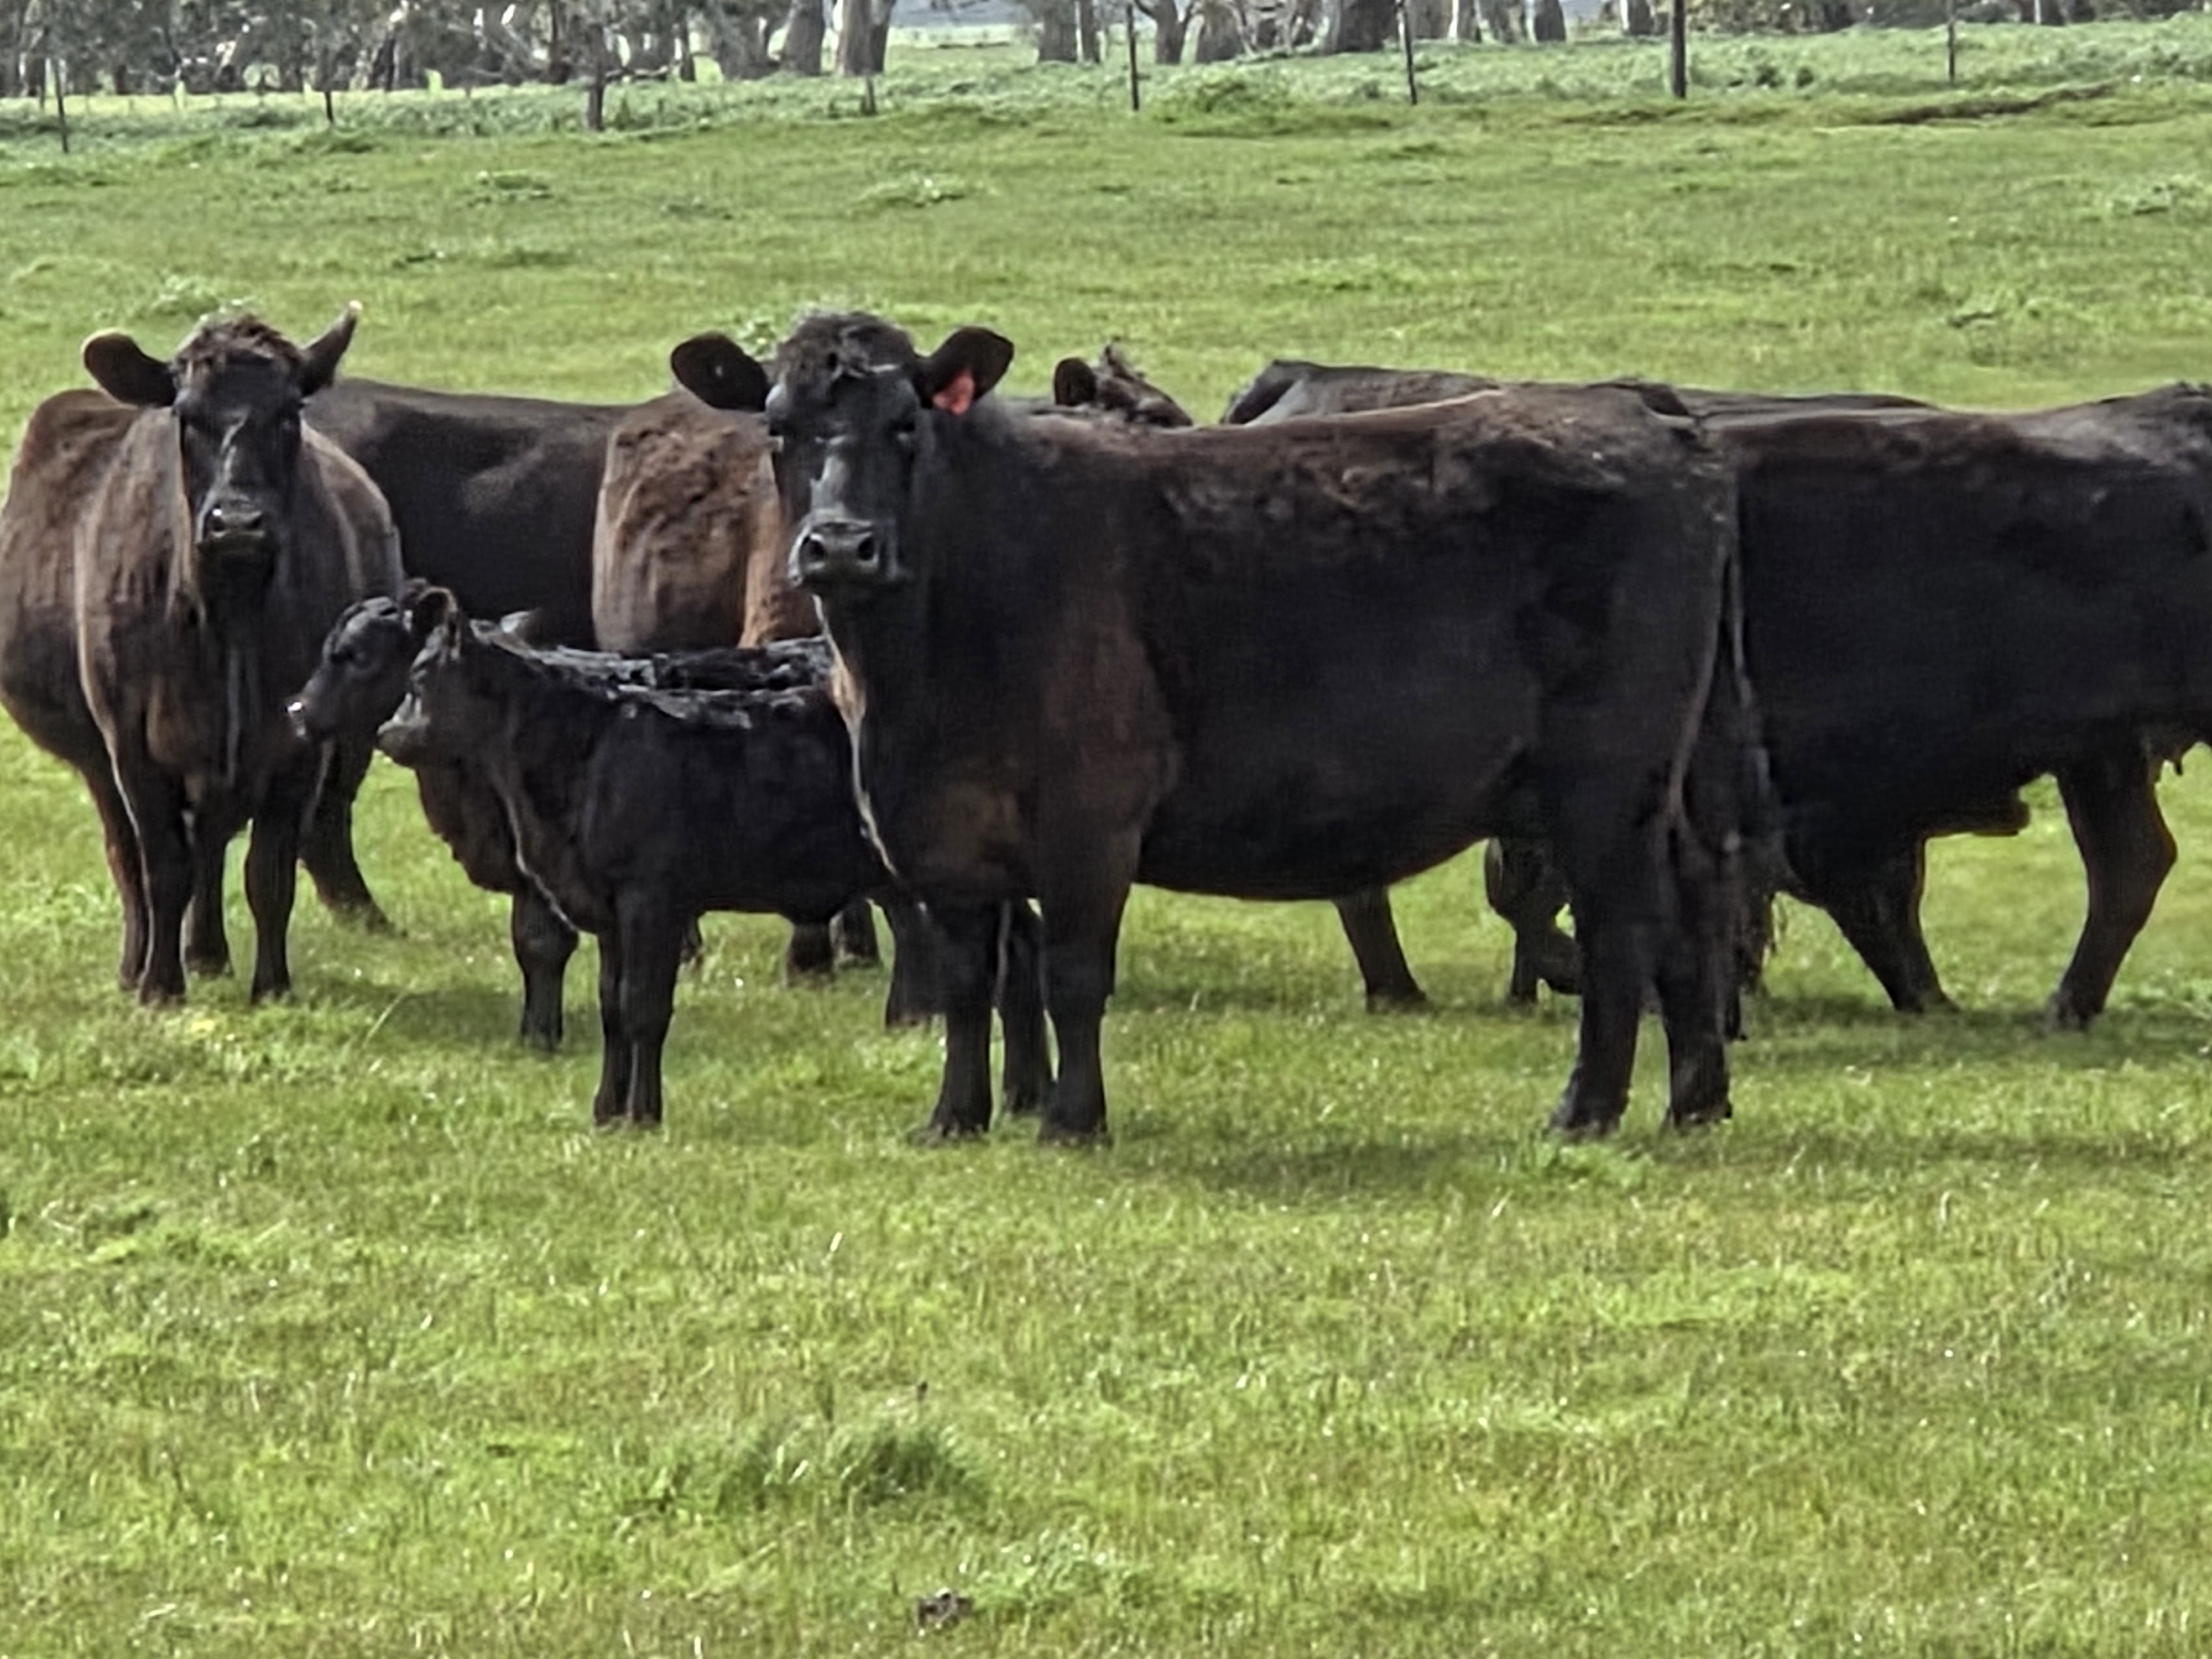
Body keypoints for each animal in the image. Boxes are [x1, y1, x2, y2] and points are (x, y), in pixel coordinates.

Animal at [0, 307, 402, 1004]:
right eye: (187, 417)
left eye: (289, 414)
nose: (237, 523)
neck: (227, 613)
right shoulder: (131, 744)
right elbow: (163, 866)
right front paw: (160, 986)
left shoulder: (299, 744)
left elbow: (268, 871)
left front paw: (272, 987)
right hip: (97, 758)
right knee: (129, 858)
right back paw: (138, 965)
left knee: (211, 843)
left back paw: (208, 952)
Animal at [374, 586, 1050, 1127]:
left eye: (420, 679)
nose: (387, 733)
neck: (584, 750)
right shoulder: (606, 909)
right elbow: (612, 1005)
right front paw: (606, 1110)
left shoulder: (652, 899)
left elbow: (644, 1007)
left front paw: (642, 1115)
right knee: (1018, 958)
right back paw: (1026, 1097)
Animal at [745, 312, 1761, 1143]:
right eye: (778, 428)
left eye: (906, 424)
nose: (842, 545)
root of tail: (1633, 406)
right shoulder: (941, 833)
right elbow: (968, 981)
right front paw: (954, 1119)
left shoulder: (1089, 821)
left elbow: (1072, 975)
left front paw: (1073, 1122)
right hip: (1662, 786)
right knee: (1693, 910)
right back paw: (1695, 1101)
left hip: (1604, 790)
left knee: (1620, 933)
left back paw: (1585, 1111)